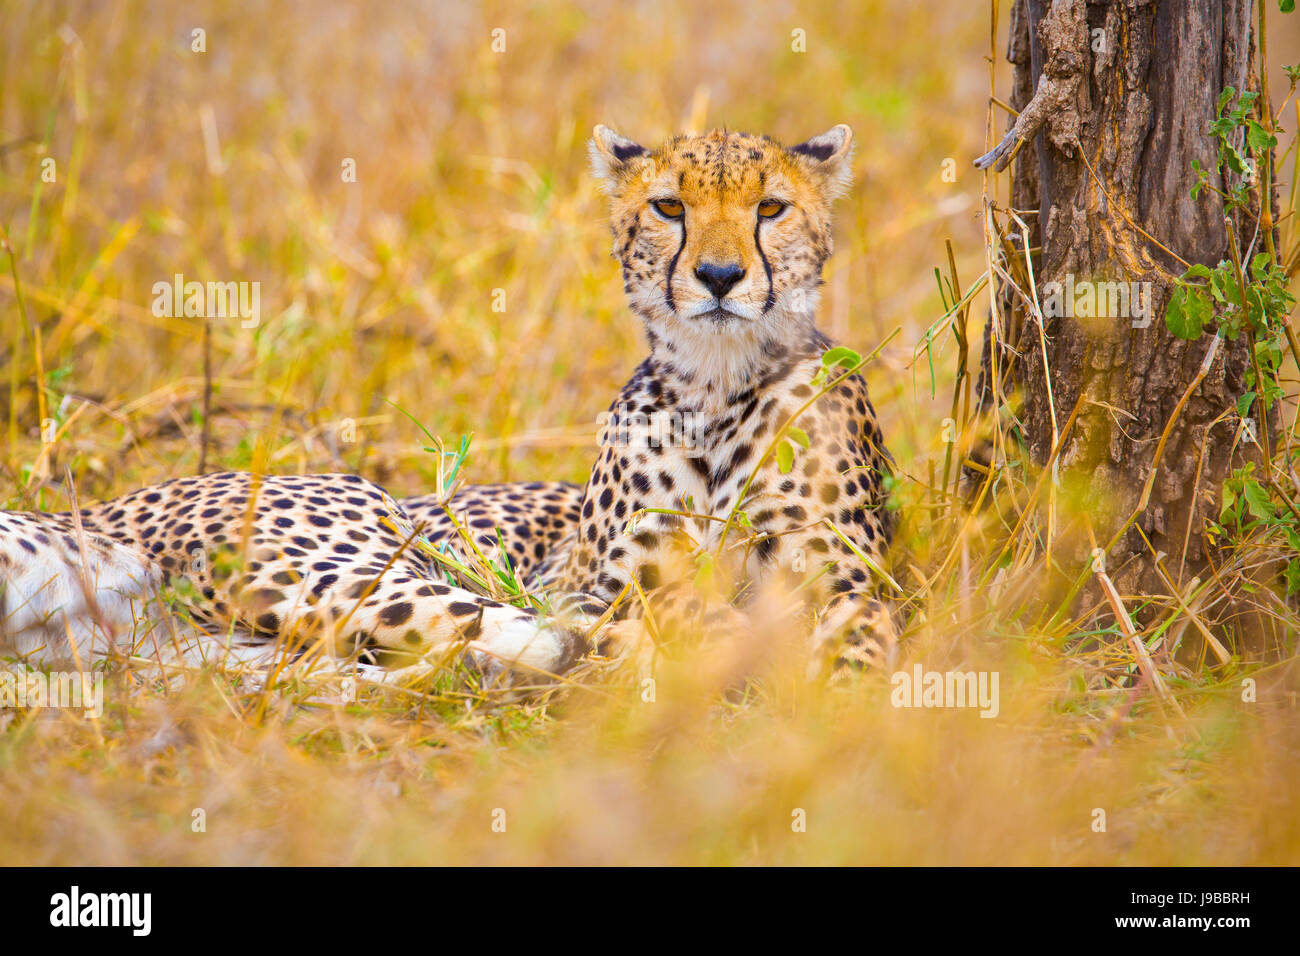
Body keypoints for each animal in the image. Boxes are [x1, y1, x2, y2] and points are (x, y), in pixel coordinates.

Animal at [0, 123, 898, 685]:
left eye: (770, 208)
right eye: (669, 207)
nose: (717, 277)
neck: (714, 387)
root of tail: (104, 512)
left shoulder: (850, 579)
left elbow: (859, 635)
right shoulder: (593, 581)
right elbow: (661, 606)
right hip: (355, 567)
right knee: (537, 633)